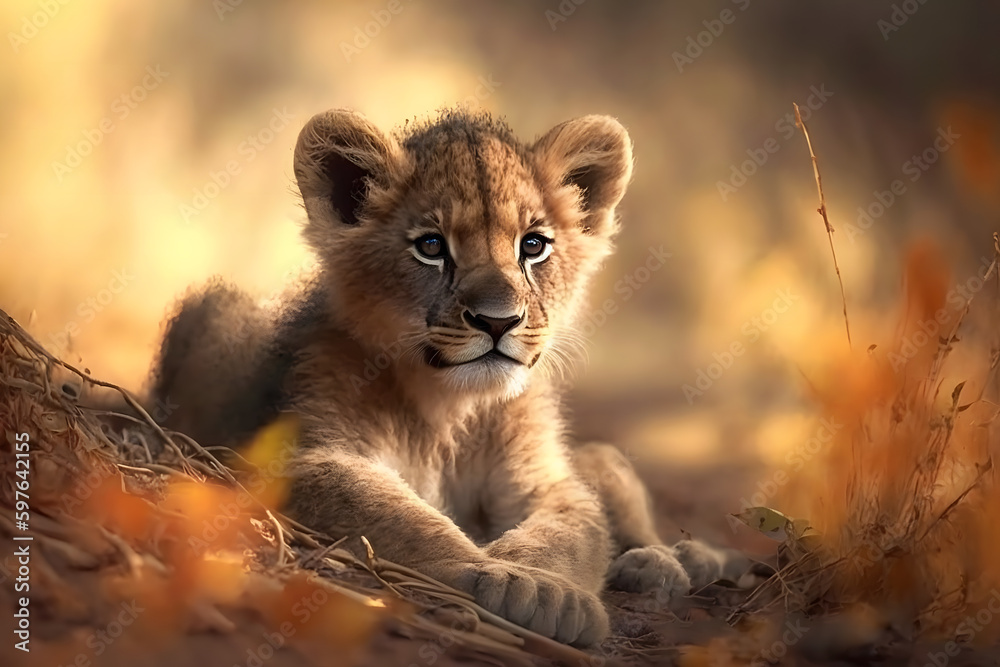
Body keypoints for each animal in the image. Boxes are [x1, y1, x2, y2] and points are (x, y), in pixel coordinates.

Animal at [151, 108, 745, 646]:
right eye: (431, 247)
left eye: (533, 245)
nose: (498, 320)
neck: (451, 409)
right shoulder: (306, 456)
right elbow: (398, 515)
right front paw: (488, 573)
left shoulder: (541, 476)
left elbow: (568, 528)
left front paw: (544, 588)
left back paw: (673, 560)